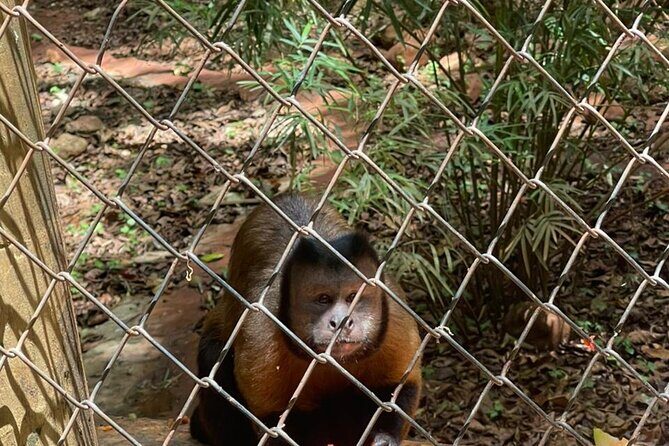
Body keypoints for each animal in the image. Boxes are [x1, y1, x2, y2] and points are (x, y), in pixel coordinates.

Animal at [190, 193, 422, 446]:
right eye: (323, 299)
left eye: (353, 297)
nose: (341, 322)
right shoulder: (260, 334)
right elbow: (272, 422)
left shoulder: (394, 314)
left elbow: (398, 390)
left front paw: (383, 438)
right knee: (212, 353)